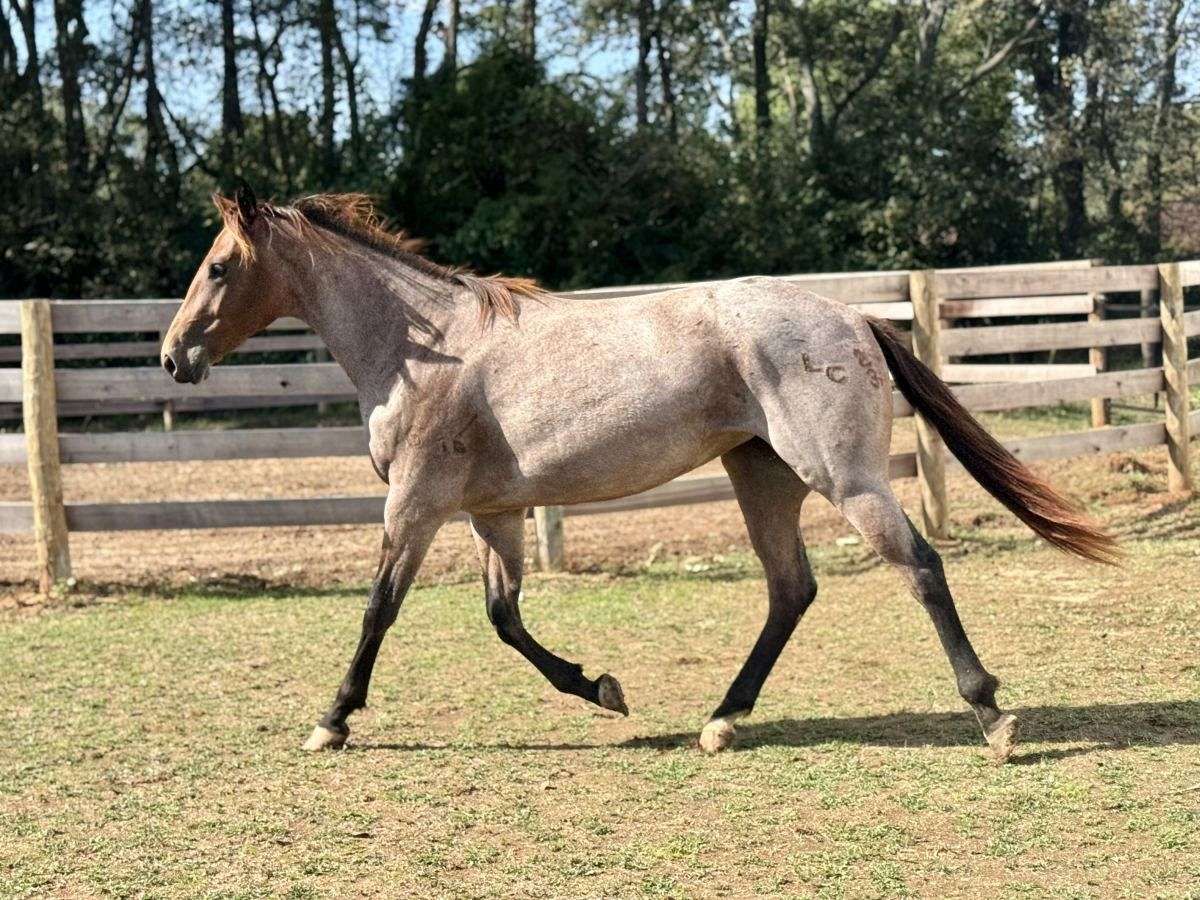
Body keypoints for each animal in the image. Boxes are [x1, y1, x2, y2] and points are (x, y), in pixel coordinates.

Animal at [161, 187, 1117, 761]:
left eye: (218, 266)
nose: (172, 356)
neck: (427, 348)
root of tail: (851, 317)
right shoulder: (492, 514)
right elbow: (505, 619)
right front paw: (602, 689)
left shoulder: (416, 505)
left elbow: (377, 612)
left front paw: (331, 721)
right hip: (762, 475)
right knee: (790, 589)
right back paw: (722, 721)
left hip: (842, 478)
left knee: (917, 564)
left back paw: (991, 715)